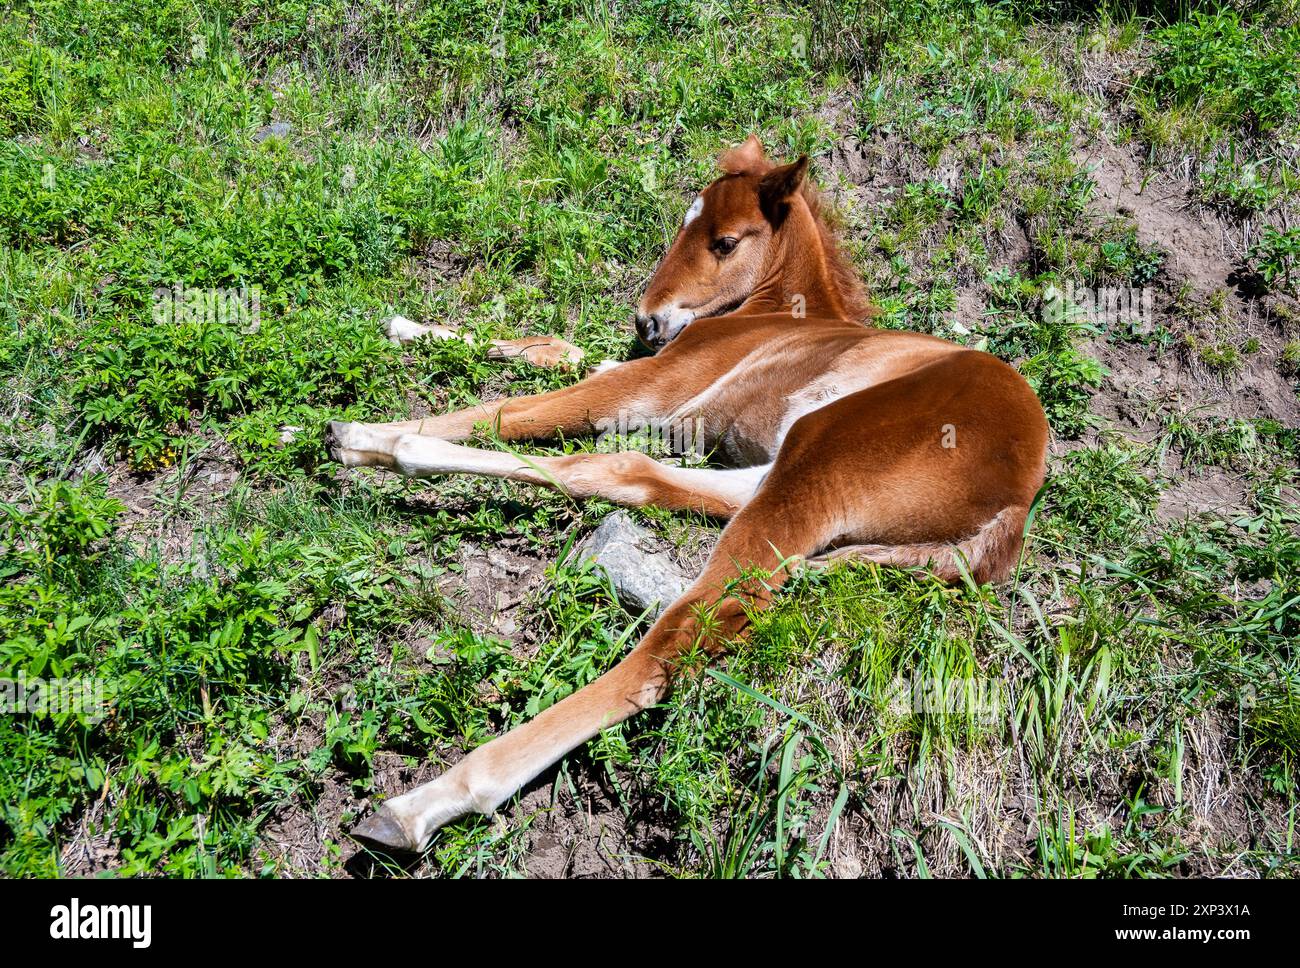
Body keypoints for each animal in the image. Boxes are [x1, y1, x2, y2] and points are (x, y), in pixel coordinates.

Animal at [327, 135, 1048, 853]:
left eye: (726, 241)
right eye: (683, 223)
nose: (647, 323)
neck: (777, 312)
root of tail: (1013, 510)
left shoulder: (652, 386)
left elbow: (510, 410)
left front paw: (350, 427)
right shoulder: (651, 377)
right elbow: (551, 350)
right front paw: (397, 346)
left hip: (809, 473)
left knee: (677, 632)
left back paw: (425, 804)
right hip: (767, 475)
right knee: (627, 473)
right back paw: (392, 451)